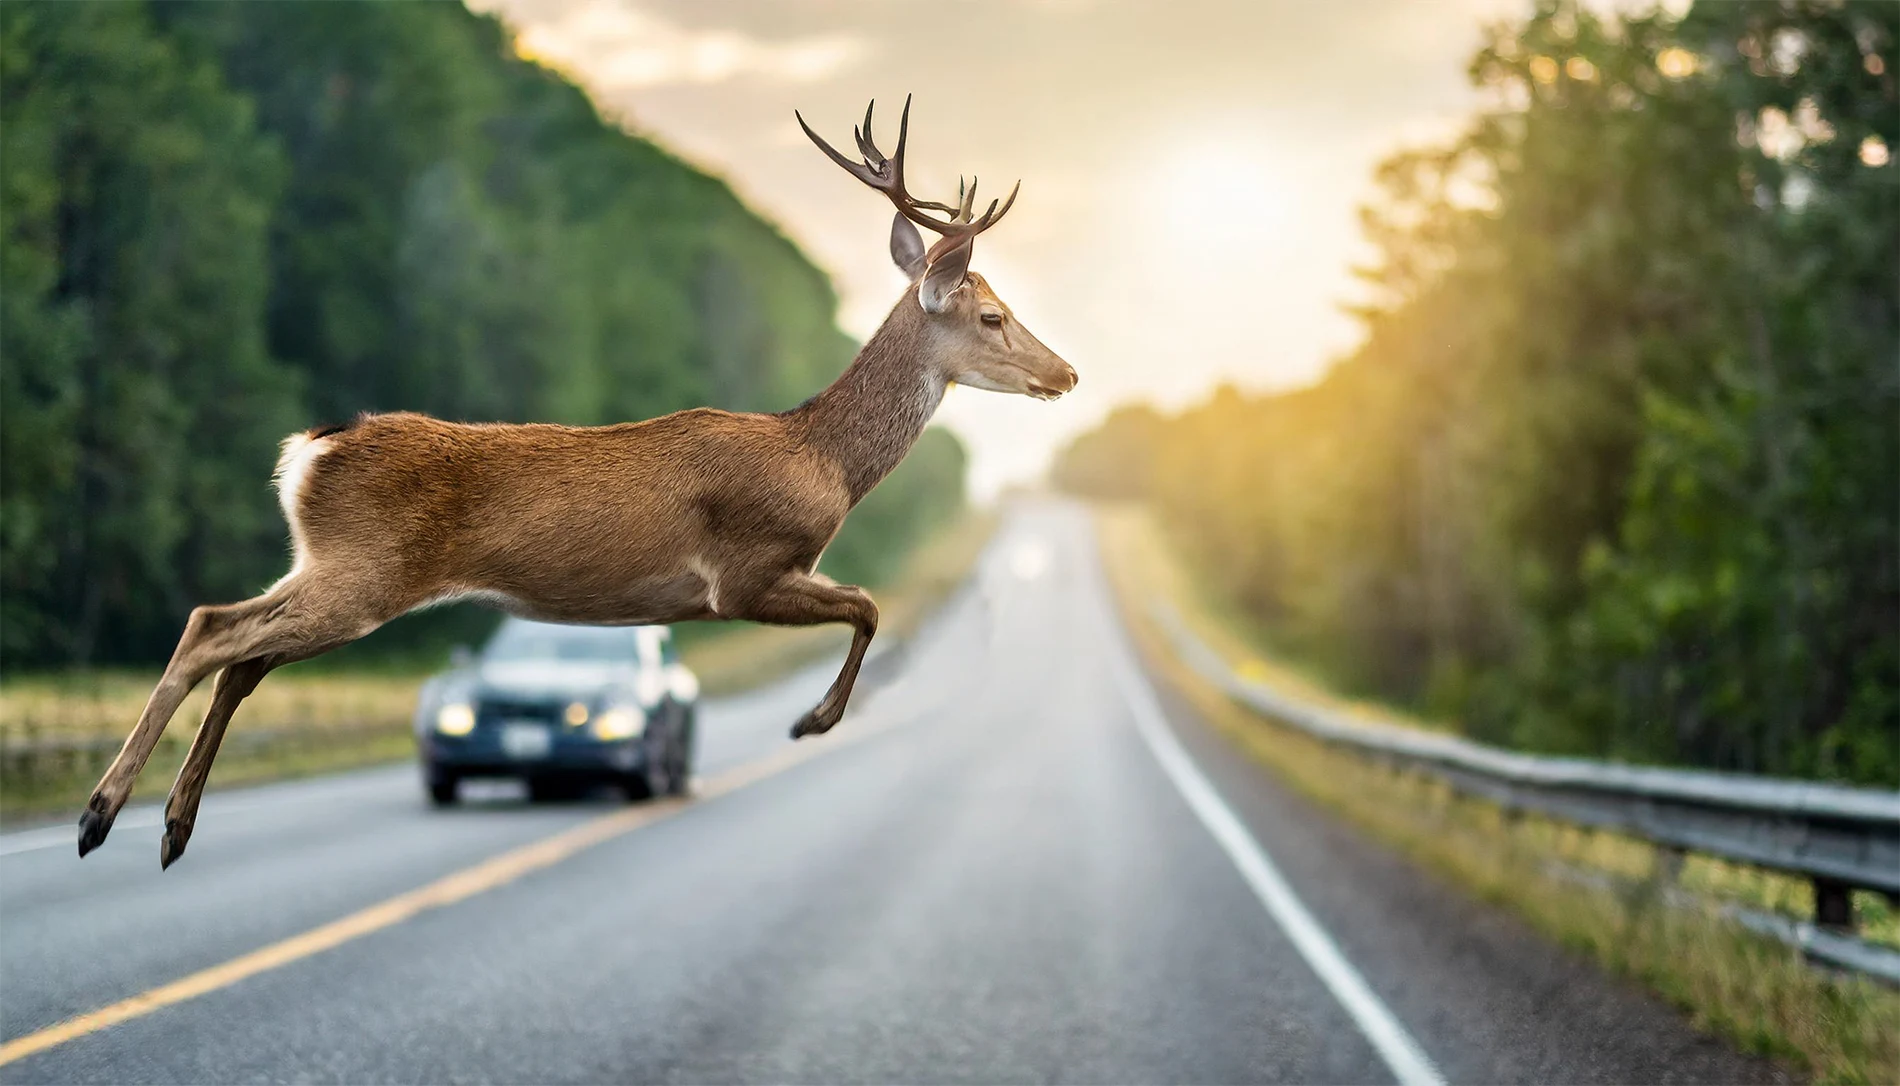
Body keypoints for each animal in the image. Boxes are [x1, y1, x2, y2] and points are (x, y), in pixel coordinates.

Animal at [74, 97, 1075, 869]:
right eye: (993, 316)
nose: (1064, 372)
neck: (822, 459)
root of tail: (310, 451)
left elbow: (867, 606)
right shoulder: (745, 574)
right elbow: (869, 604)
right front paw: (810, 723)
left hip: (325, 565)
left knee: (235, 647)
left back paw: (171, 827)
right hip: (363, 572)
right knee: (215, 633)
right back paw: (99, 816)